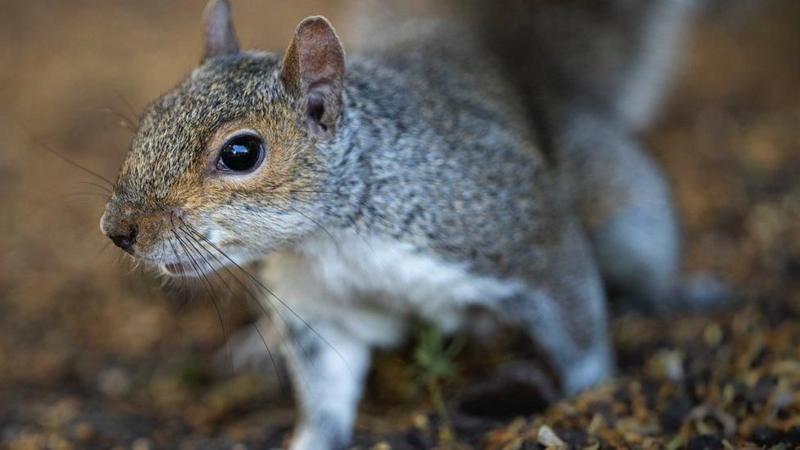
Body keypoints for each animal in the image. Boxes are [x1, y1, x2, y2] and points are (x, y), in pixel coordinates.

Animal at [99, 0, 714, 448]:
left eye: (241, 152)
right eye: (150, 116)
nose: (118, 229)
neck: (332, 239)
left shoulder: (520, 233)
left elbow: (575, 317)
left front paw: (592, 394)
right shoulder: (320, 308)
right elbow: (326, 394)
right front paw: (311, 439)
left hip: (622, 205)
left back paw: (671, 293)